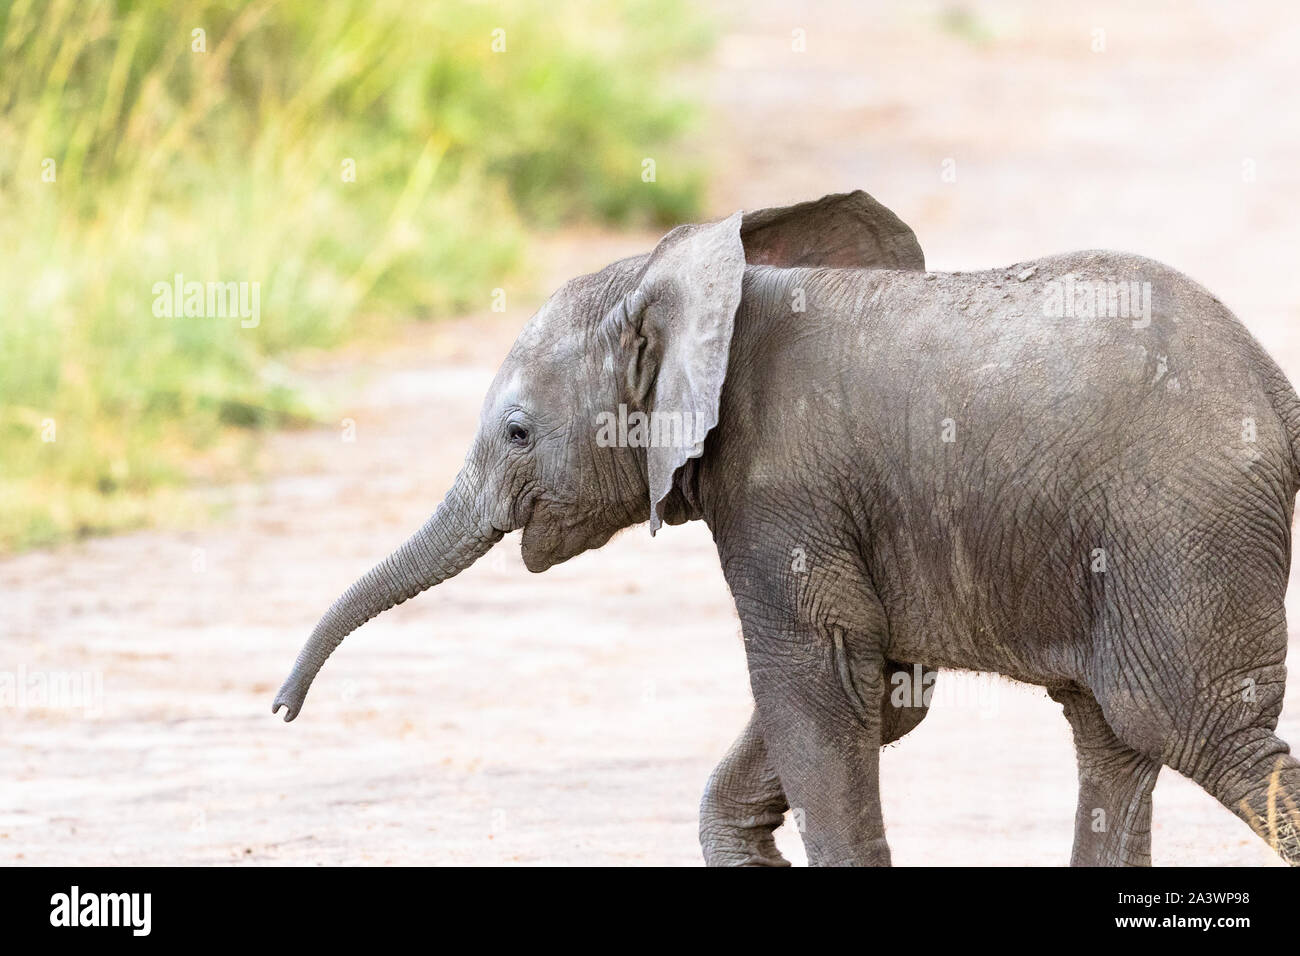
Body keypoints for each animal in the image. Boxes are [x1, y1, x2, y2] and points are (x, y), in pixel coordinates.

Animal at [274, 190, 1300, 867]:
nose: (280, 710)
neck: (693, 288)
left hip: (1181, 536)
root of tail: (1280, 395)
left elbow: (818, 691)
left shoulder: (784, 498)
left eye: (519, 432)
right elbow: (872, 695)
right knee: (1111, 743)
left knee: (1205, 736)